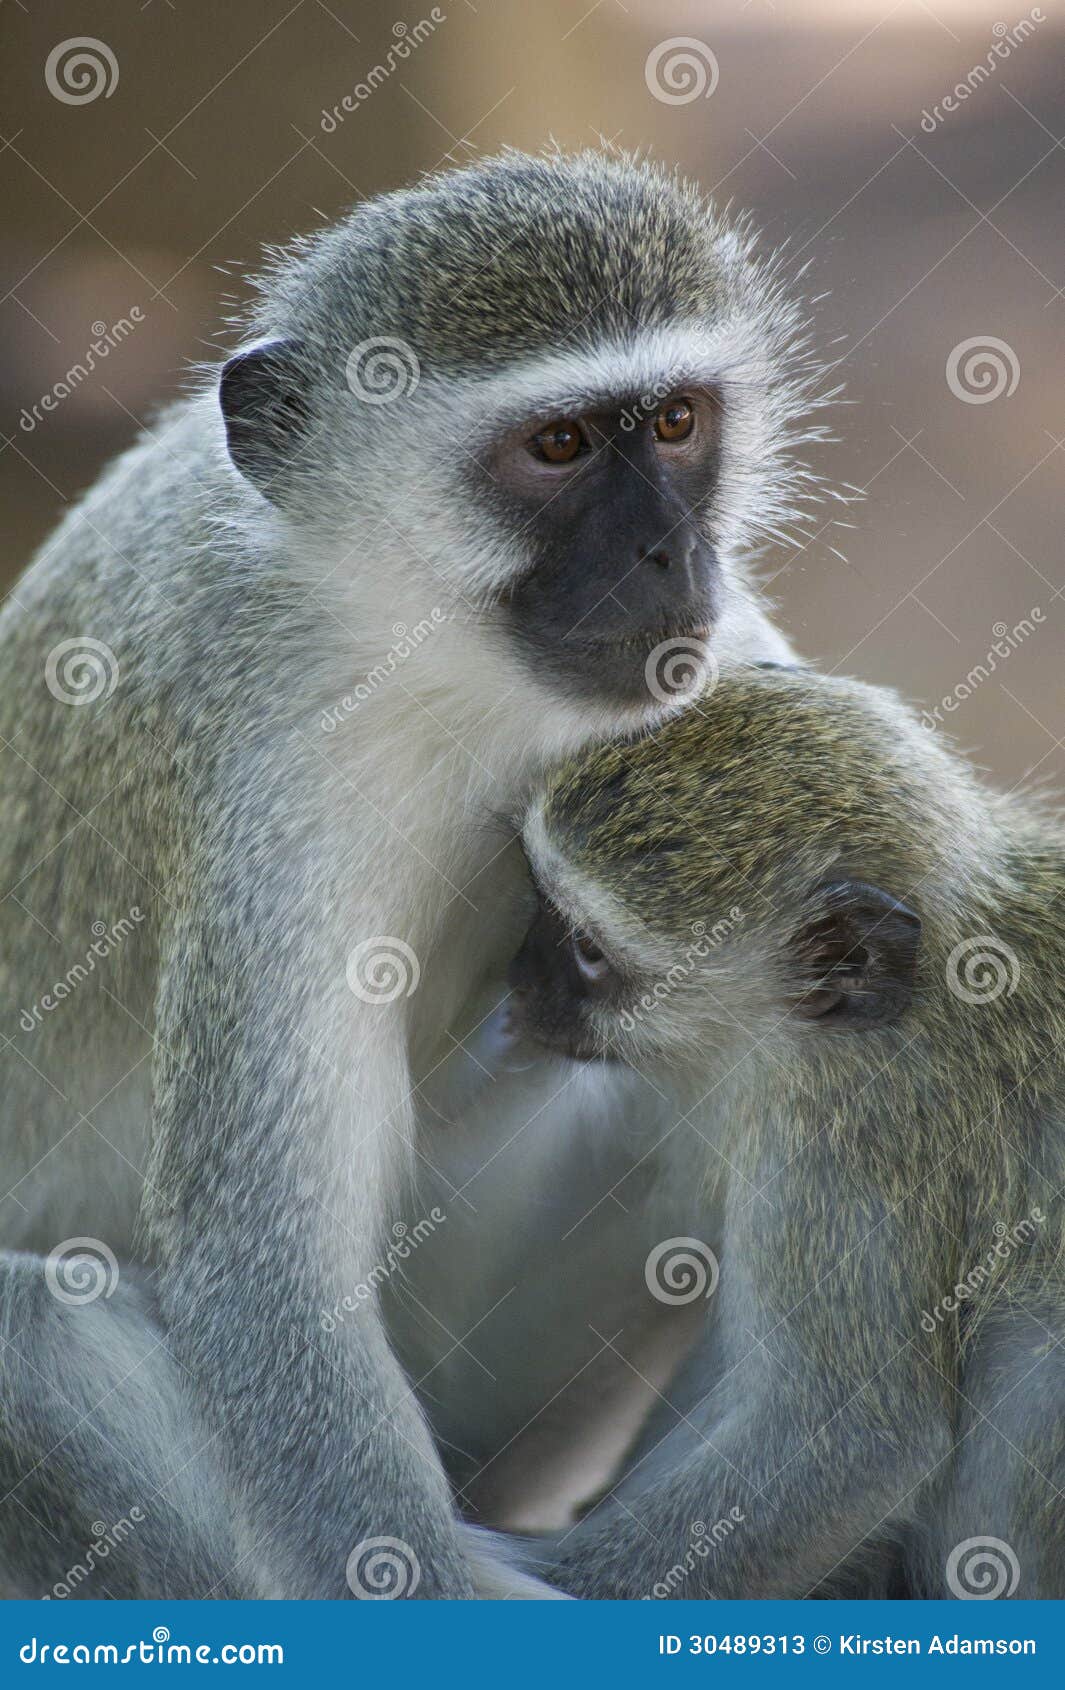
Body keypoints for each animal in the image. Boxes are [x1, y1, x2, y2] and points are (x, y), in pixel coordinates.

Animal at [0, 149, 825, 1597]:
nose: (673, 553)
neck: (435, 659)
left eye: (676, 423)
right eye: (558, 448)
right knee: (34, 1325)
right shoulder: (275, 787)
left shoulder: (727, 662)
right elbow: (270, 1280)